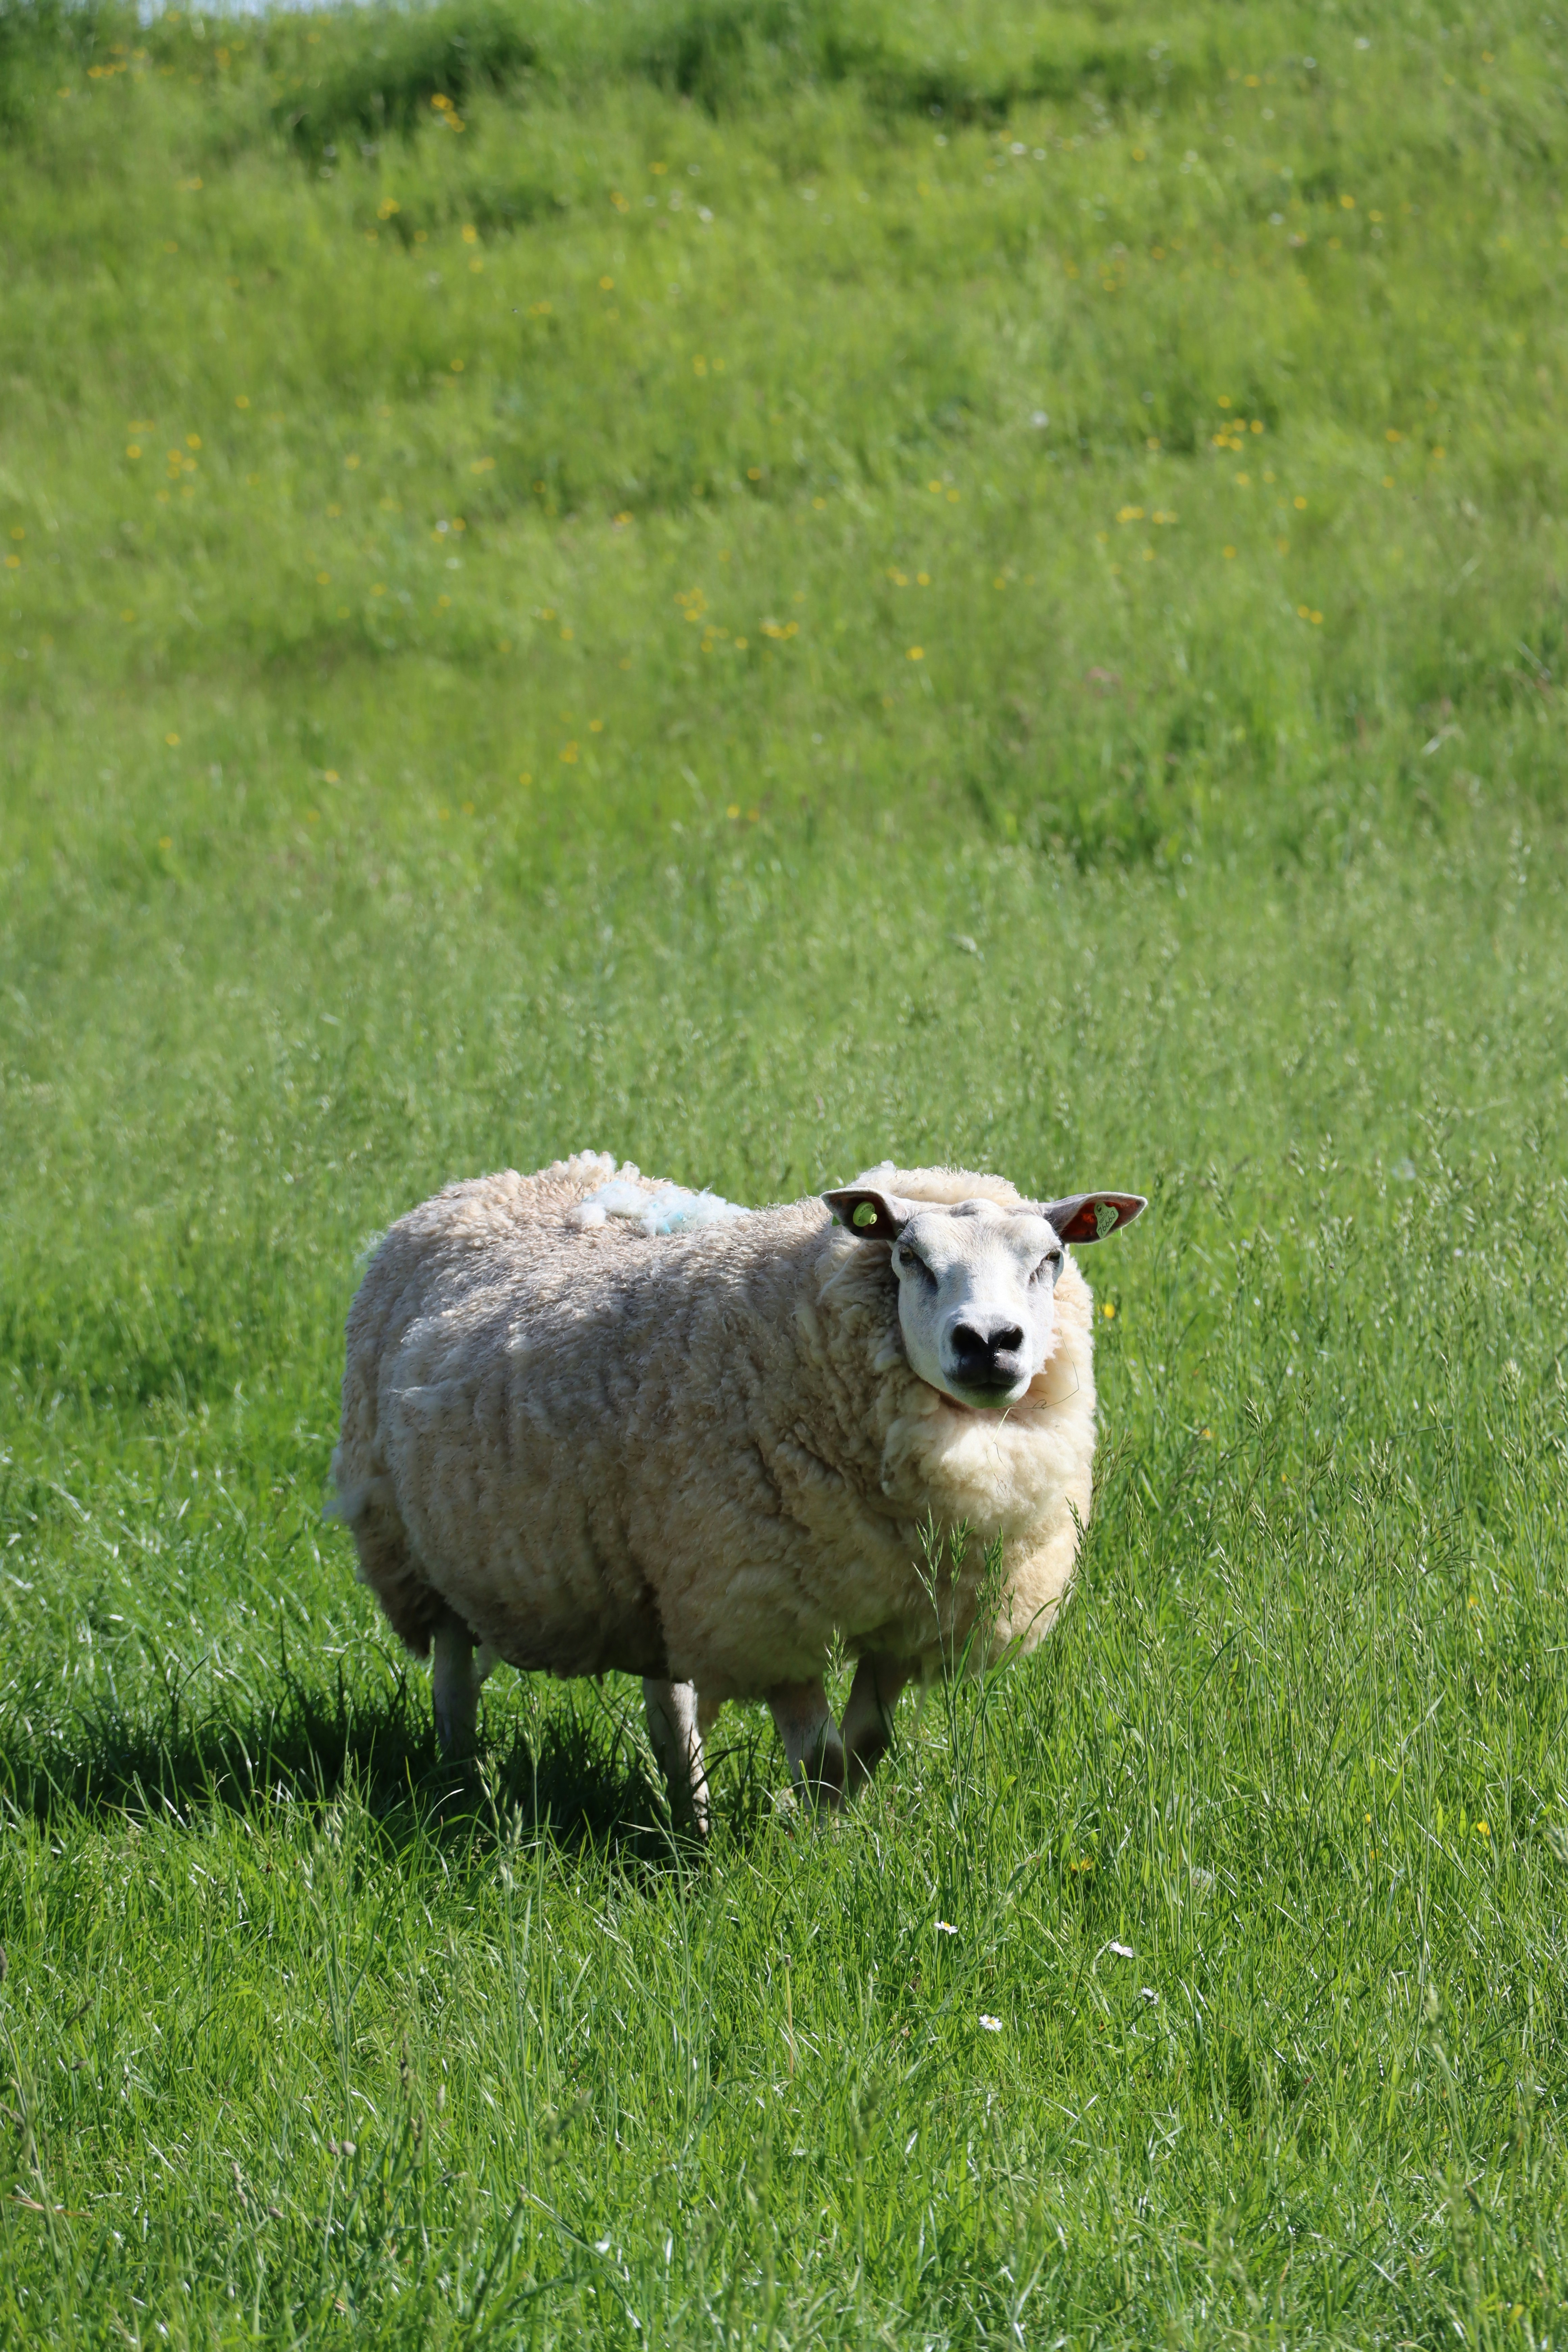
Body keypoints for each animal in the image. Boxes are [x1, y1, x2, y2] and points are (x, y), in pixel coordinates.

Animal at [332, 1152, 1145, 1828]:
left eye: (1050, 1258)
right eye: (910, 1258)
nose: (988, 1343)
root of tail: (486, 1185)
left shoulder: (906, 1621)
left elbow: (867, 1746)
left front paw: (836, 1834)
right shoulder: (766, 1612)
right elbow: (820, 1757)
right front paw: (817, 1855)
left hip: (655, 1576)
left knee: (670, 1708)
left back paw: (689, 1822)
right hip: (418, 1551)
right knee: (454, 1681)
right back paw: (462, 1788)